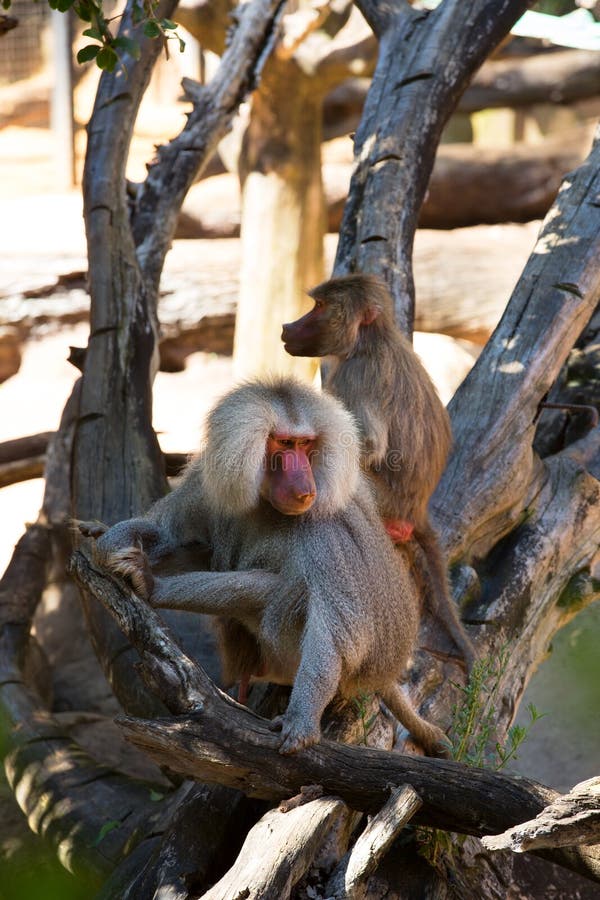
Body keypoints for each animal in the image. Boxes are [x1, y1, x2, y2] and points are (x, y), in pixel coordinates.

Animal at [83, 377, 449, 757]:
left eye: (306, 444)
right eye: (284, 443)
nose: (305, 488)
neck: (266, 501)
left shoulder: (324, 528)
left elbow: (336, 631)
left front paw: (301, 721)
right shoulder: (206, 483)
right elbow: (167, 533)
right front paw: (110, 537)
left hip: (291, 656)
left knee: (276, 589)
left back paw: (154, 587)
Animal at [281, 274, 475, 672]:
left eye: (320, 307)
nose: (287, 327)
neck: (370, 340)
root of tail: (417, 509)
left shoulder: (353, 376)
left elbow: (365, 445)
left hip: (385, 501)